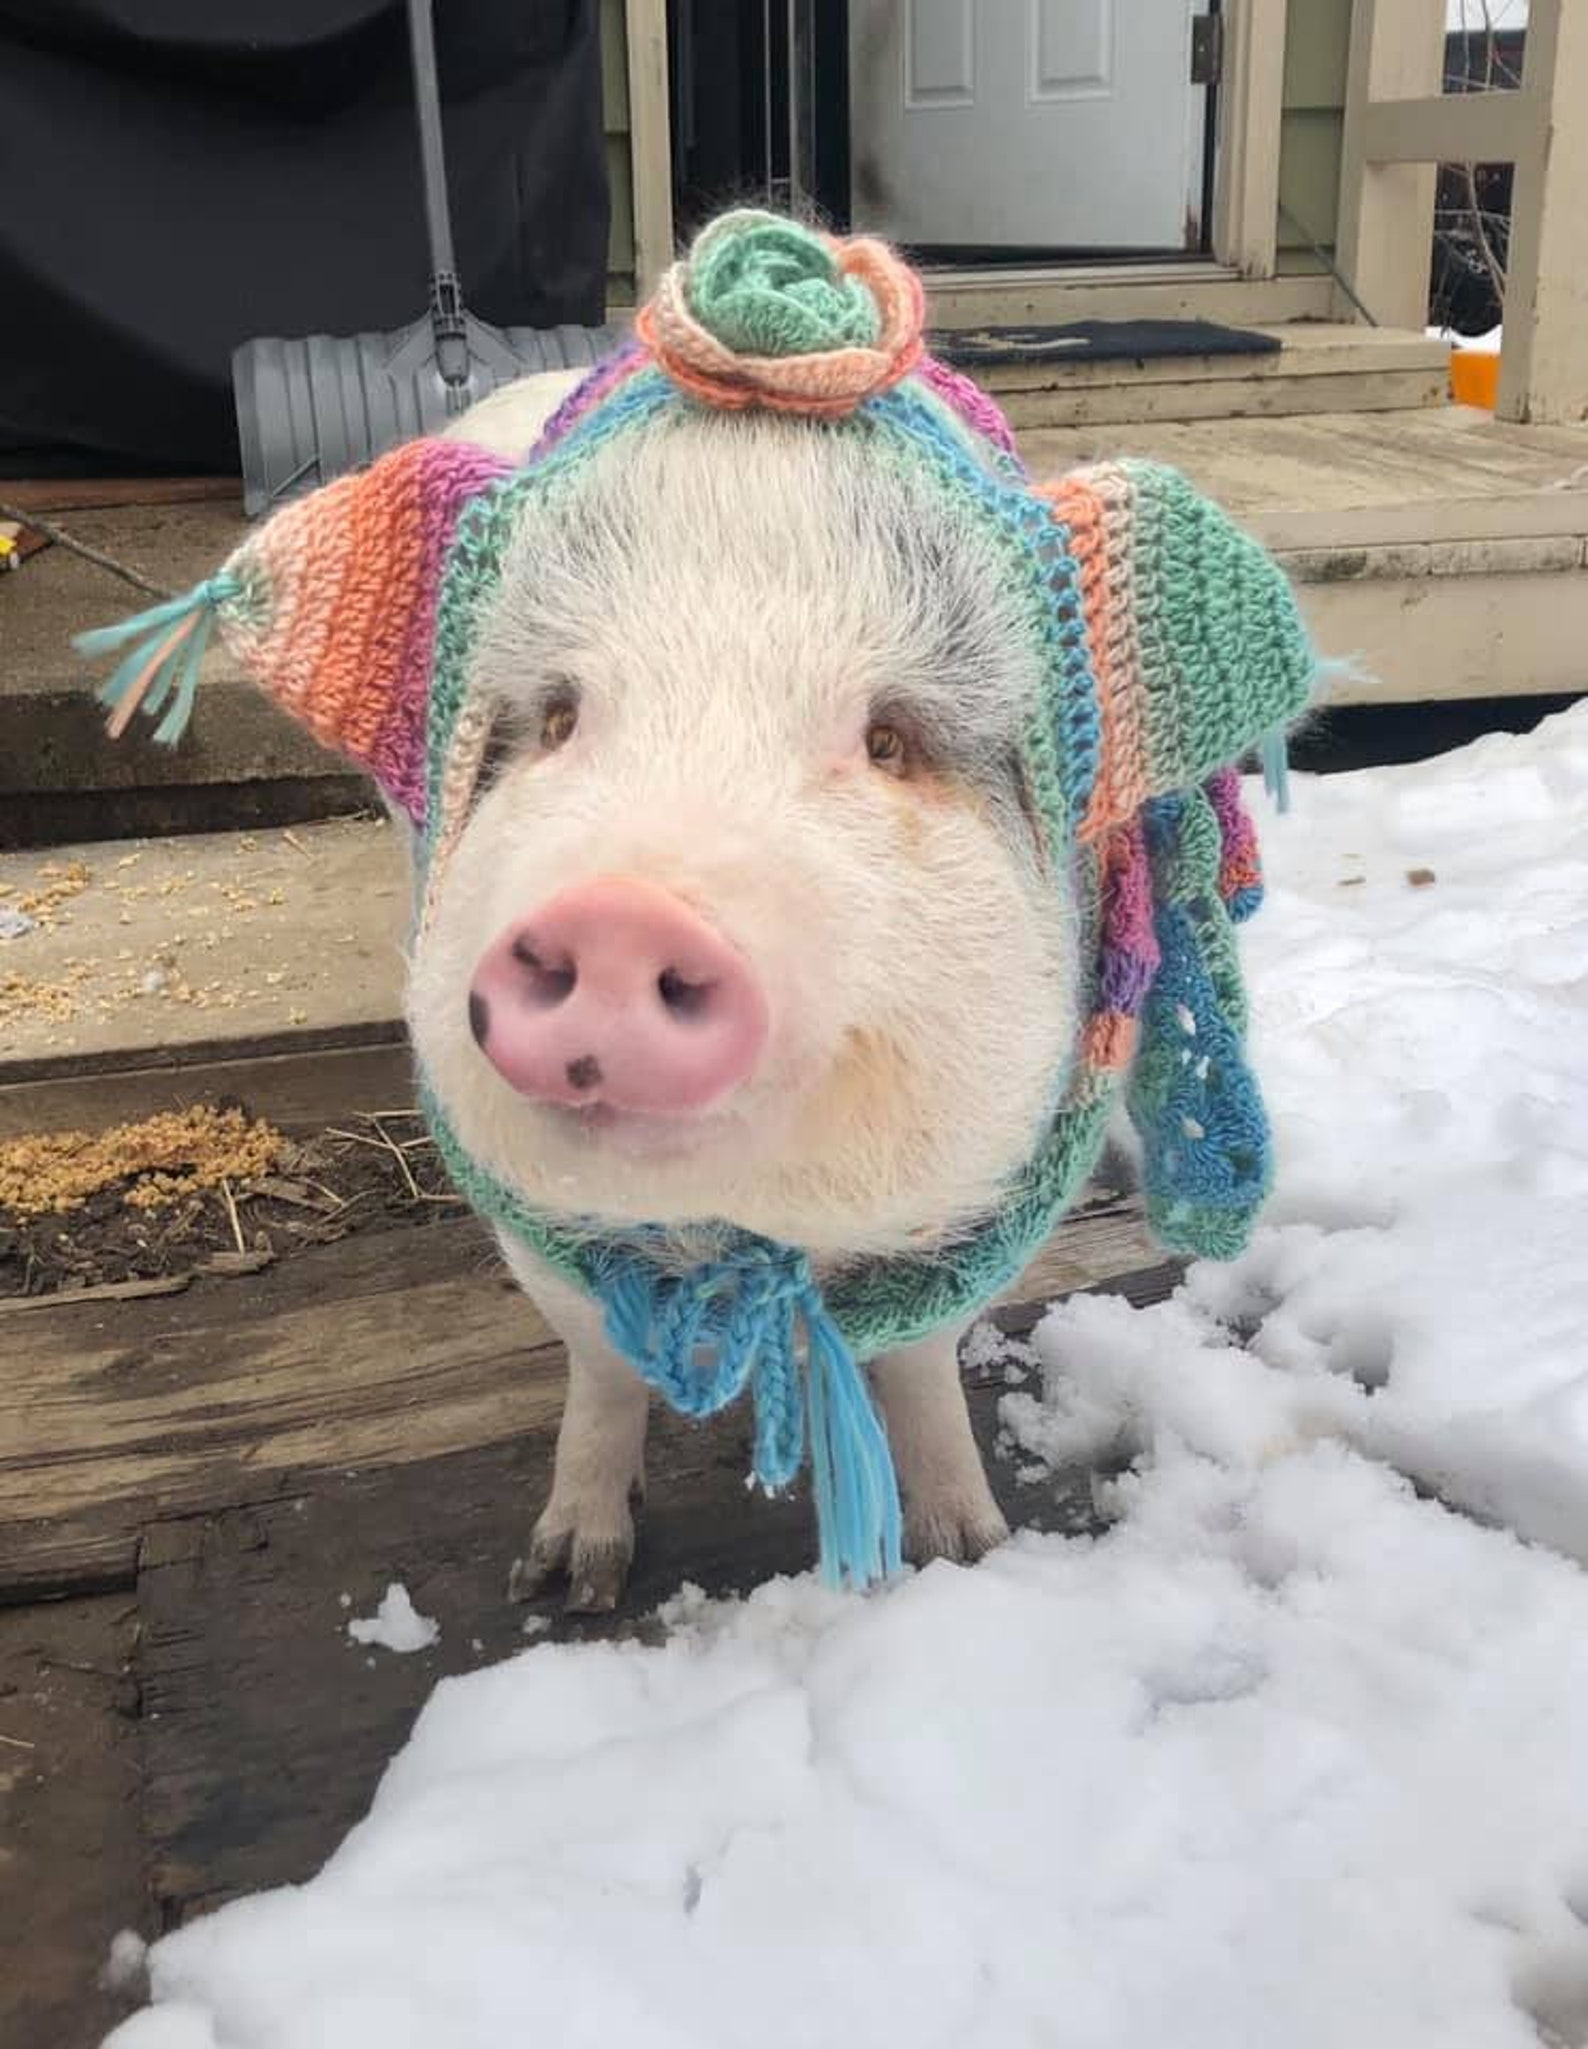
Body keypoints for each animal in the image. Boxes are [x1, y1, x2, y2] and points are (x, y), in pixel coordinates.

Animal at [418, 375, 1076, 1608]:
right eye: (562, 719)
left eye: (888, 740)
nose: (622, 912)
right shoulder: (520, 1200)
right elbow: (601, 1359)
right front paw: (568, 1582)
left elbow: (919, 1360)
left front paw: (972, 1555)